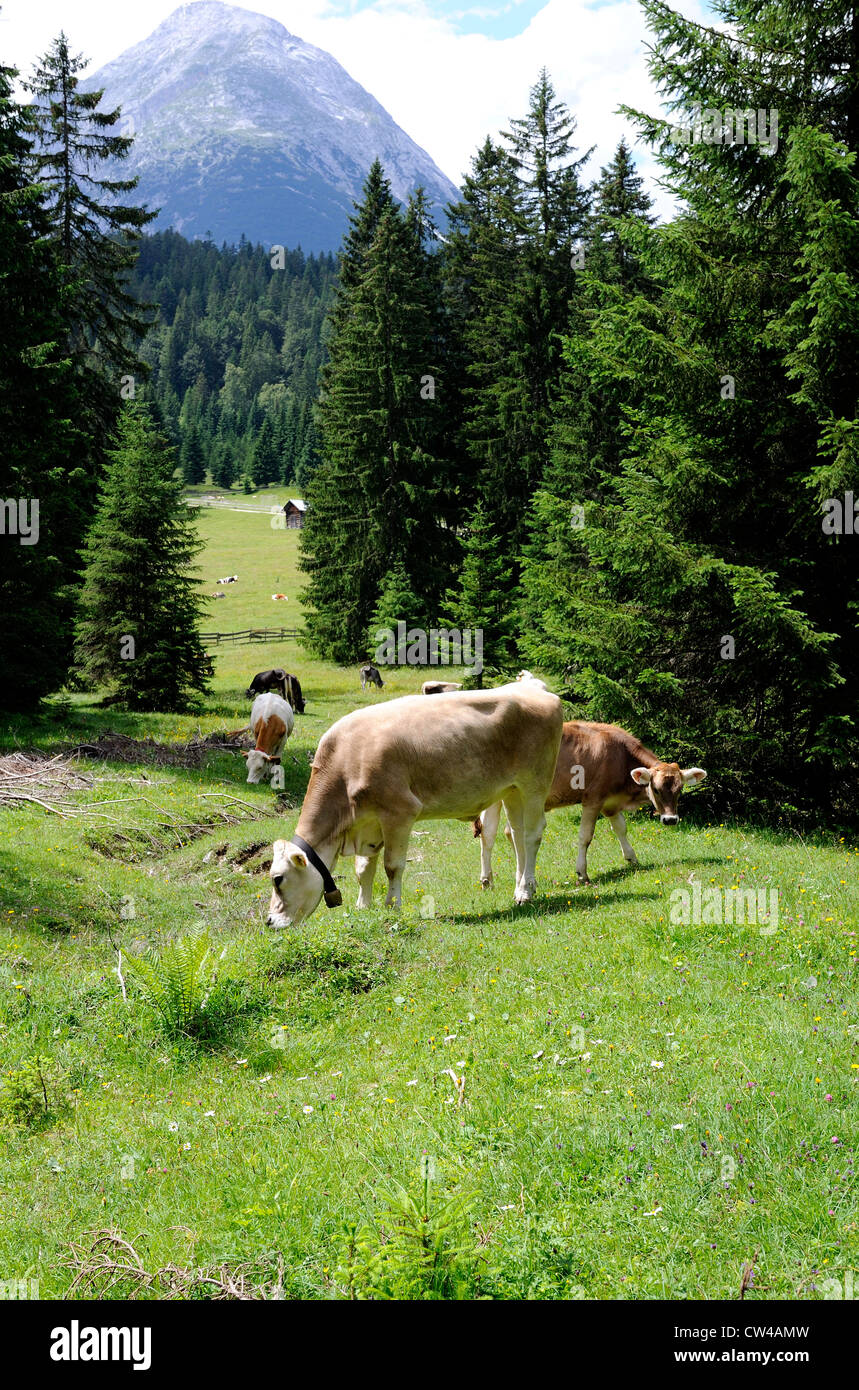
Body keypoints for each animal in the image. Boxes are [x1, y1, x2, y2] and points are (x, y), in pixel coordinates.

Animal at [266, 681, 564, 928]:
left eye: (277, 879)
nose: (269, 921)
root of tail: (536, 689)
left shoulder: (399, 812)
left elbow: (392, 866)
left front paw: (391, 907)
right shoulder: (369, 823)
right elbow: (363, 868)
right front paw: (363, 906)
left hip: (535, 784)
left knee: (532, 835)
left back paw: (525, 892)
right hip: (512, 790)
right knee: (516, 834)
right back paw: (522, 887)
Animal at [474, 721, 707, 888]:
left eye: (679, 789)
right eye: (656, 789)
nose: (670, 819)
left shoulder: (610, 802)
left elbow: (621, 828)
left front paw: (632, 859)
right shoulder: (593, 800)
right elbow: (585, 837)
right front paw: (582, 873)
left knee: (489, 833)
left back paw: (488, 880)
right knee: (510, 832)